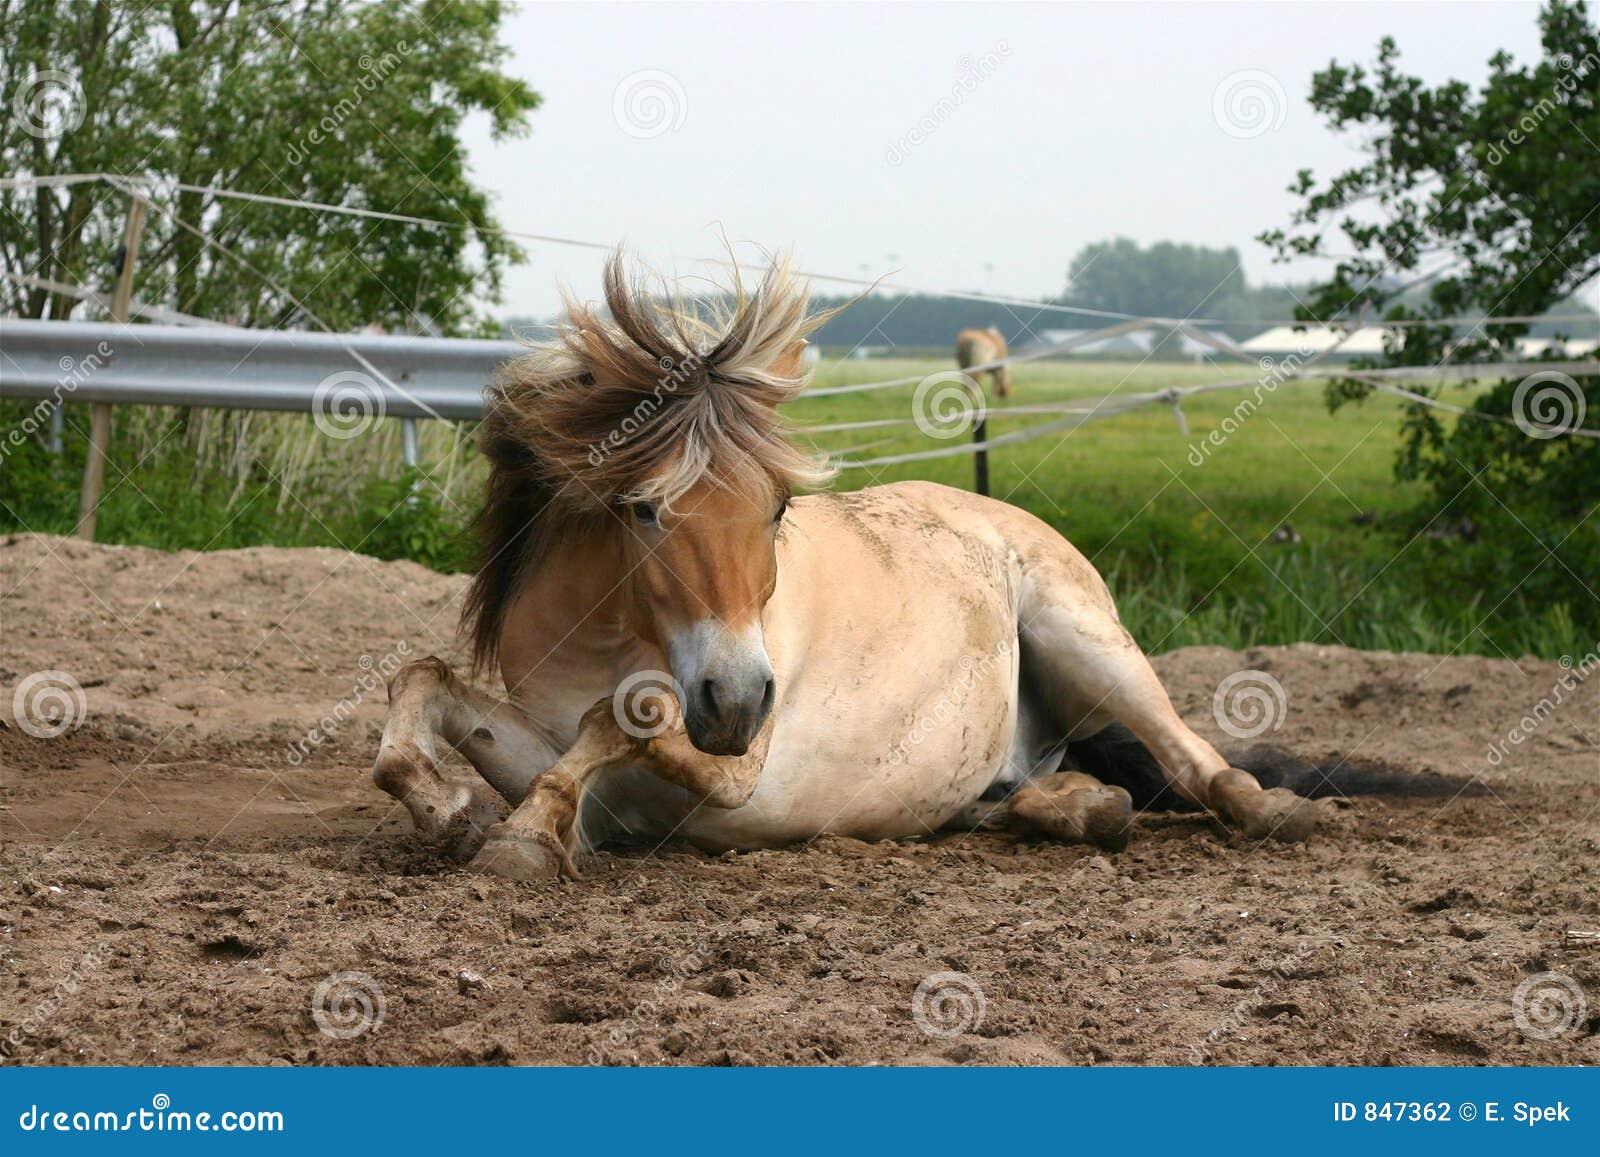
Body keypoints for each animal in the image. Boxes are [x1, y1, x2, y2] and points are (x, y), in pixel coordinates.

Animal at [371, 255, 1376, 882]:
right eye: (645, 509)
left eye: (776, 507)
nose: (738, 698)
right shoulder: (594, 777)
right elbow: (429, 681)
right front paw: (446, 808)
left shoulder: (739, 770)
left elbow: (624, 716)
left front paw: (516, 841)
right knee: (1049, 798)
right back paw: (1084, 807)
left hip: (1090, 641)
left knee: (1198, 763)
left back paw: (1275, 812)